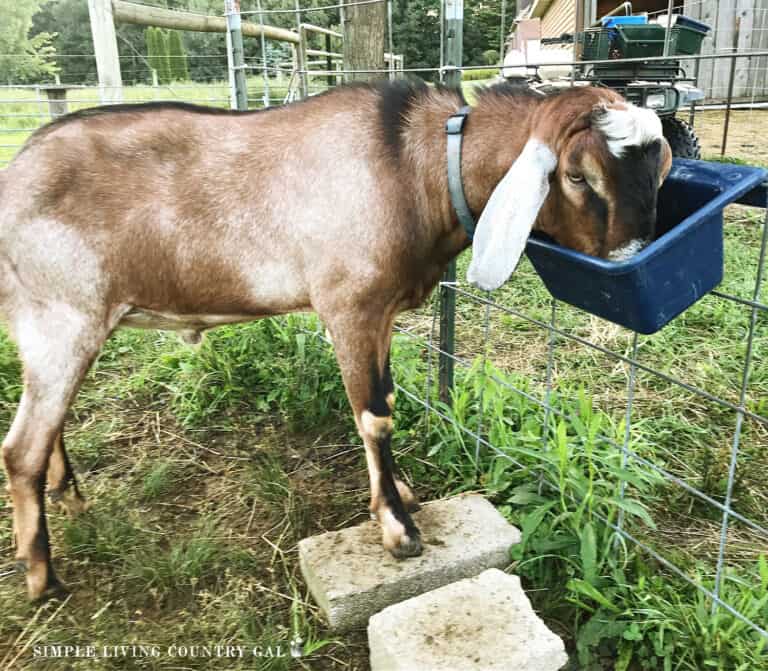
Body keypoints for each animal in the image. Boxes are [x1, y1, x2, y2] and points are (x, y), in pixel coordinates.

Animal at [0, 80, 671, 600]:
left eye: (660, 170)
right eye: (577, 175)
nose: (632, 259)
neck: (412, 167)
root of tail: (14, 176)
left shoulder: (380, 314)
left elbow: (389, 401)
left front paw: (403, 492)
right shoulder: (348, 306)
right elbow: (373, 416)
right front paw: (398, 530)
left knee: (47, 425)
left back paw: (69, 498)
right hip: (61, 316)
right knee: (20, 448)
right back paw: (43, 579)